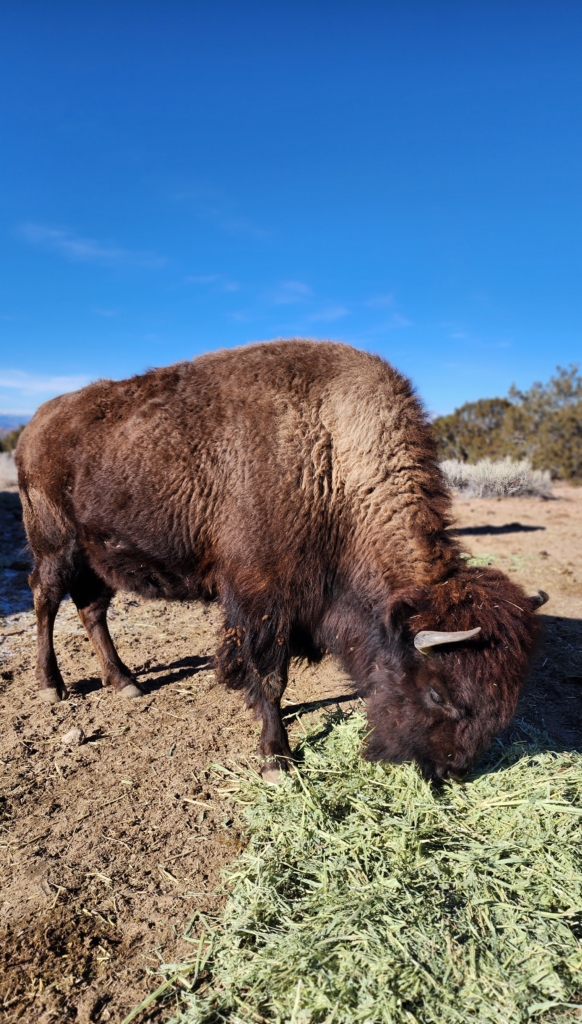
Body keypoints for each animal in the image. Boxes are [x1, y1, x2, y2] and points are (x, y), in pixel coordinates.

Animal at [16, 340, 547, 781]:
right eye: (438, 692)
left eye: (506, 699)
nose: (450, 770)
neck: (330, 457)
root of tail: (33, 426)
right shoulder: (263, 599)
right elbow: (271, 676)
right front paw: (277, 759)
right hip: (55, 545)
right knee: (45, 599)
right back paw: (51, 686)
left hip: (98, 555)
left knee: (91, 608)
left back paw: (125, 683)